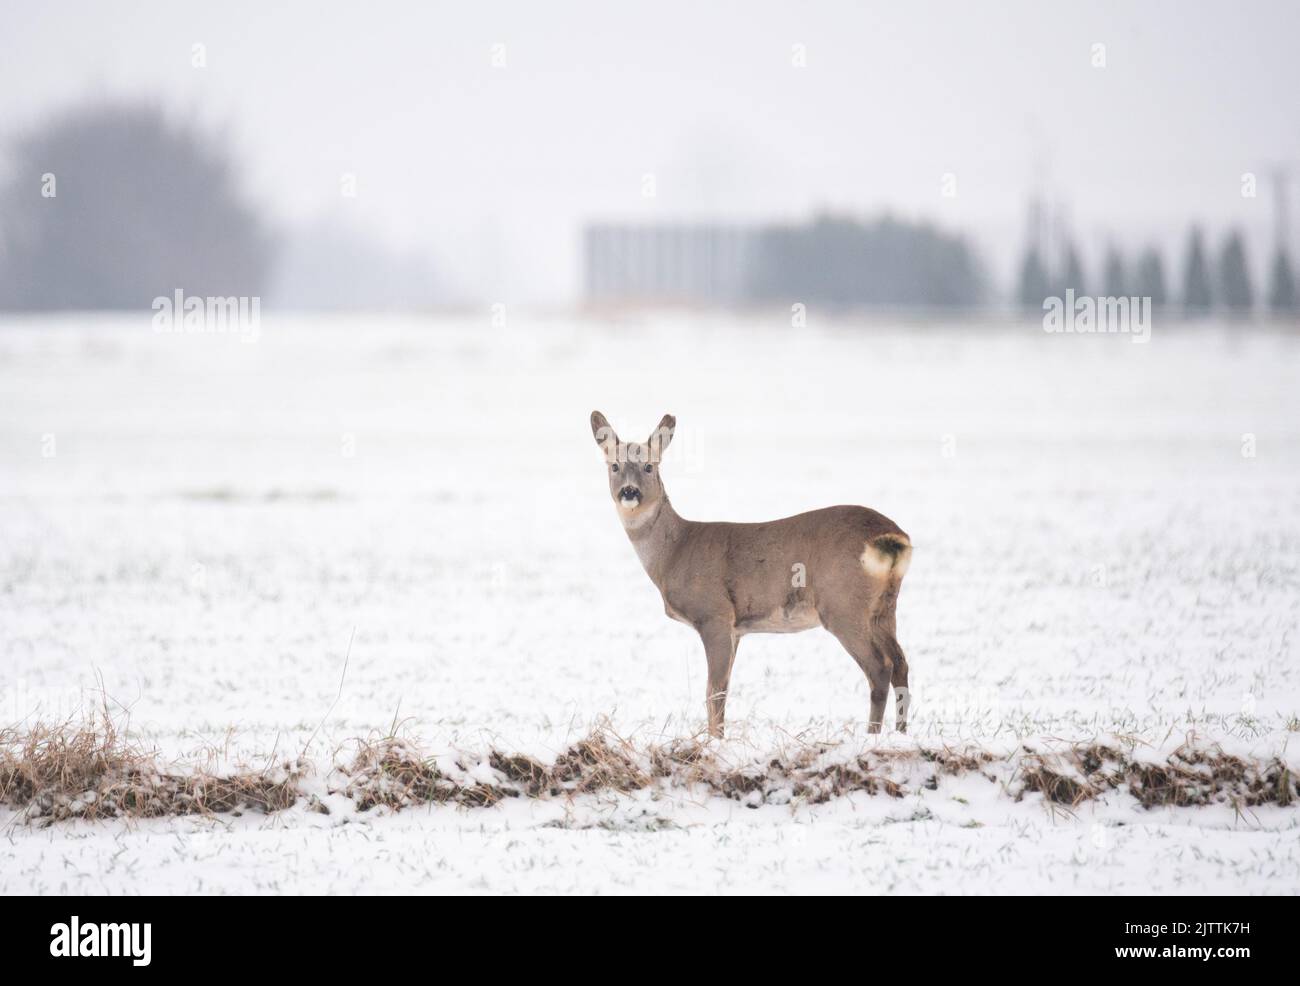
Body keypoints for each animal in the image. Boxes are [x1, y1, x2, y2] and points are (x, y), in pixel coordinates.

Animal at [590, 411, 912, 738]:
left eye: (649, 466)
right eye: (614, 465)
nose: (629, 492)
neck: (675, 552)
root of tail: (892, 537)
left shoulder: (714, 614)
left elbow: (714, 691)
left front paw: (715, 741)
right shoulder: (736, 629)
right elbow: (721, 690)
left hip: (843, 603)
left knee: (880, 667)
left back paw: (872, 735)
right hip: (884, 607)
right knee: (901, 663)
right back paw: (900, 733)